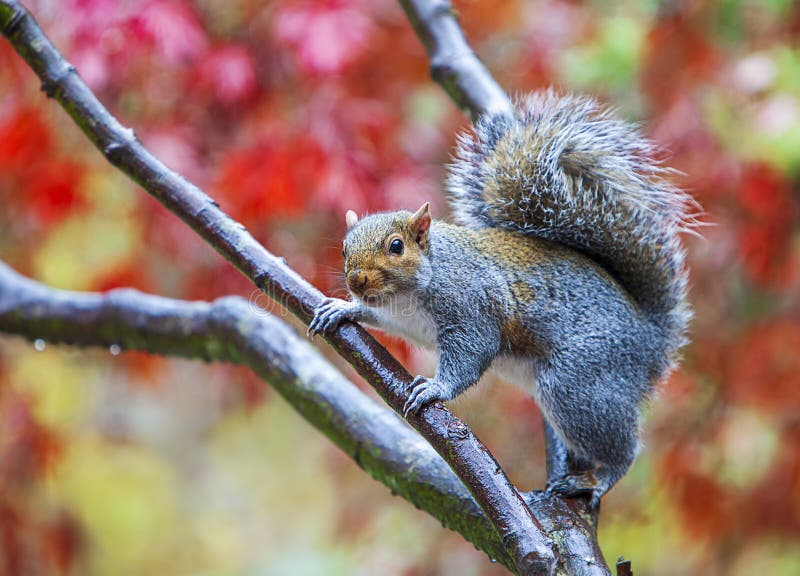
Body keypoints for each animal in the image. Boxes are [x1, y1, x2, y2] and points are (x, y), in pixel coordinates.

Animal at [307, 90, 696, 507]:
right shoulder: (396, 316)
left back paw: (600, 479)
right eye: (344, 250)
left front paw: (436, 389)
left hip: (579, 382)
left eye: (396, 246)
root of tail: (652, 337)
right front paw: (343, 309)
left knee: (621, 447)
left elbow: (472, 352)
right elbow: (375, 316)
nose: (356, 280)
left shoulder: (471, 307)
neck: (407, 296)